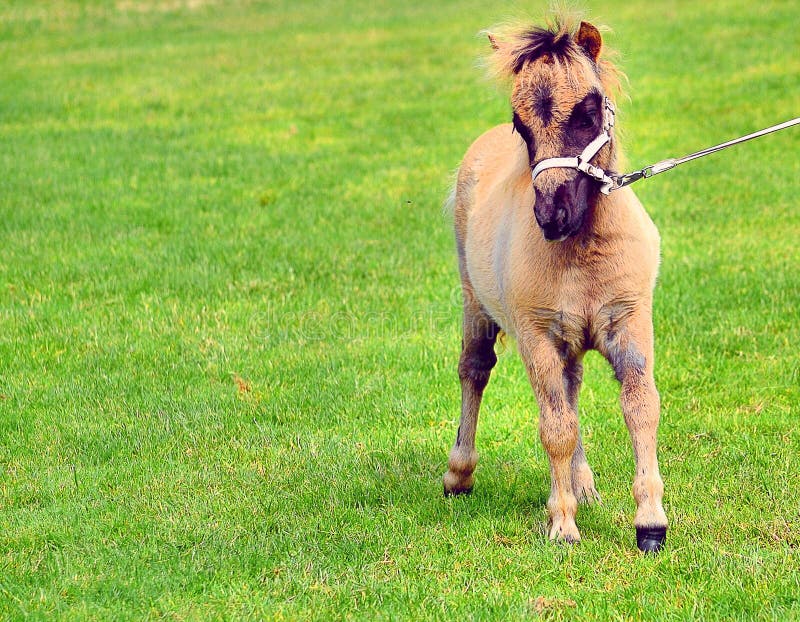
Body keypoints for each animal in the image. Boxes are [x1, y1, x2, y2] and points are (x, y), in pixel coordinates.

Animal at [442, 15, 669, 552]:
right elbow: (556, 428)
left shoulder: (629, 323)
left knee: (572, 385)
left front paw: (650, 523)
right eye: (519, 124)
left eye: (588, 111)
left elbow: (640, 408)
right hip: (475, 305)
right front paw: (562, 525)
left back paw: (584, 486)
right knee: (475, 371)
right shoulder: (537, 335)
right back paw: (459, 474)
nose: (551, 215)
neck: (582, 255)